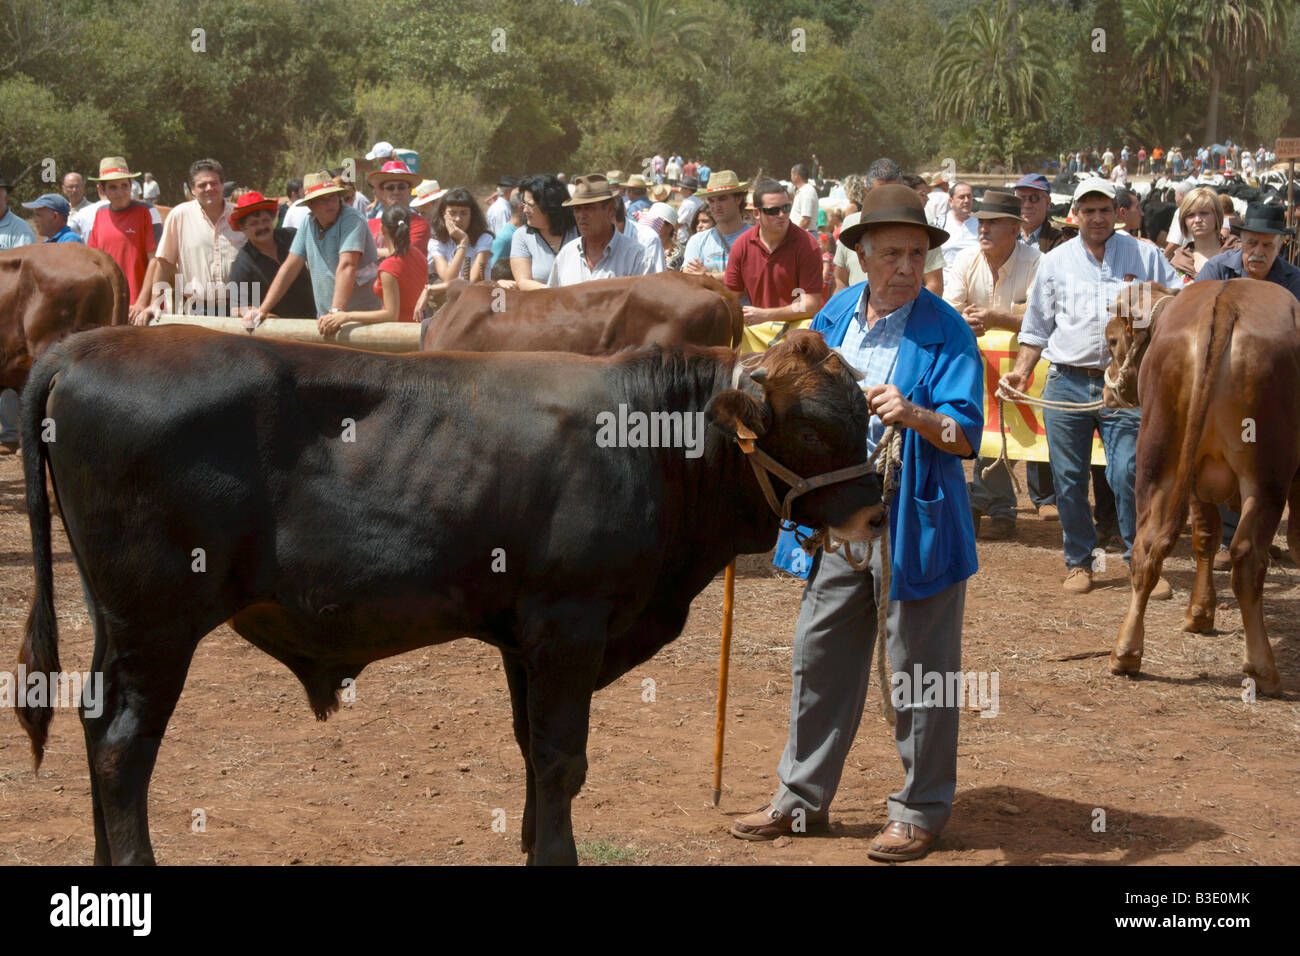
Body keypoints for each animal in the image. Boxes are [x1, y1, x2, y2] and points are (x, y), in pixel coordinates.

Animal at [16, 326, 884, 865]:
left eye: (866, 416)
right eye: (811, 429)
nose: (878, 511)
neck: (648, 440)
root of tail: (84, 346)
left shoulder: (524, 636)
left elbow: (533, 750)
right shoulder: (569, 623)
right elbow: (563, 757)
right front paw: (558, 854)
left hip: (115, 622)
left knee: (94, 727)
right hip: (157, 622)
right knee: (123, 746)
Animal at [1103, 279, 1300, 695]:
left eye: (1112, 340)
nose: (1107, 389)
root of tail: (1224, 302)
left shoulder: (1195, 482)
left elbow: (1205, 537)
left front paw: (1199, 613)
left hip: (1160, 463)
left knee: (1148, 547)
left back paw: (1126, 652)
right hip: (1267, 479)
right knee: (1247, 555)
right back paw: (1263, 668)